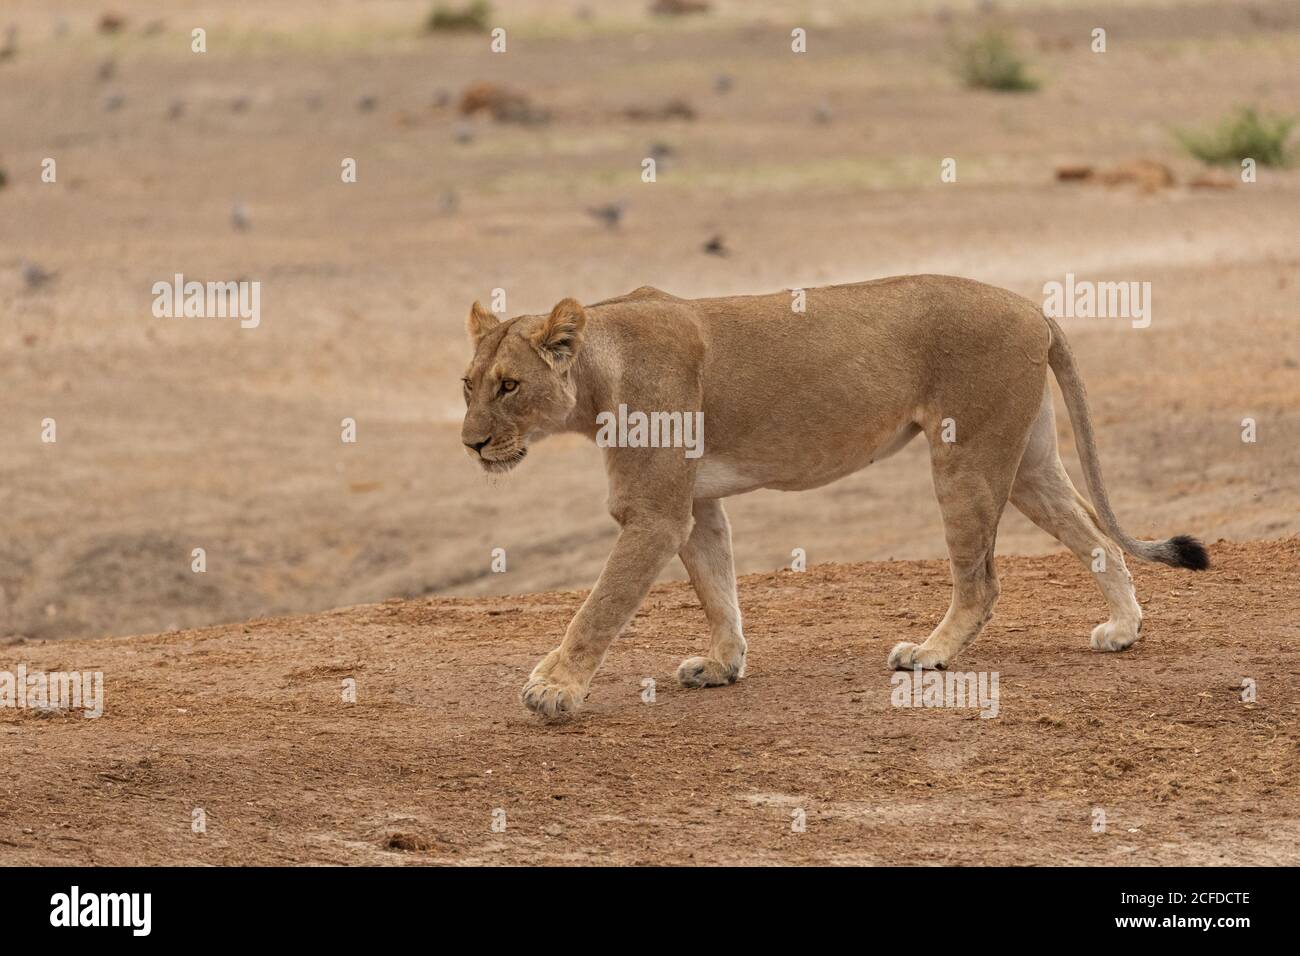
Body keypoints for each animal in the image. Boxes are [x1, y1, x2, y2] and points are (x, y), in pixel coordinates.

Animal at [460, 276, 1208, 717]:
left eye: (509, 386)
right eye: (468, 385)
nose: (470, 444)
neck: (597, 371)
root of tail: (1035, 309)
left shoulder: (653, 515)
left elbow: (599, 607)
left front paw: (555, 687)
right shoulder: (694, 505)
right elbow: (717, 585)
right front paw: (723, 664)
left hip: (964, 455)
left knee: (983, 581)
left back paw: (930, 653)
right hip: (1027, 460)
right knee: (1096, 533)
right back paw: (1124, 629)